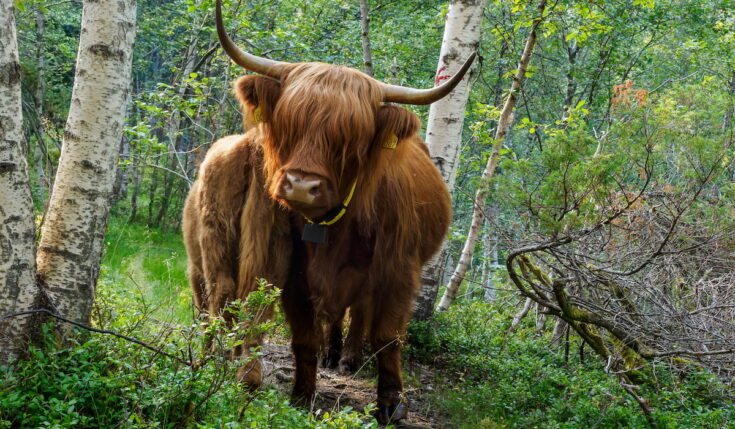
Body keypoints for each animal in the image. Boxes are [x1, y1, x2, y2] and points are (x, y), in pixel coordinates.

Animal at [182, 0, 474, 423]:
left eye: (350, 136)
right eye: (289, 121)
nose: (302, 185)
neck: (332, 228)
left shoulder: (398, 270)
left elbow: (387, 337)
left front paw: (391, 405)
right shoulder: (297, 275)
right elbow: (303, 336)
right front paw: (302, 395)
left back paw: (342, 359)